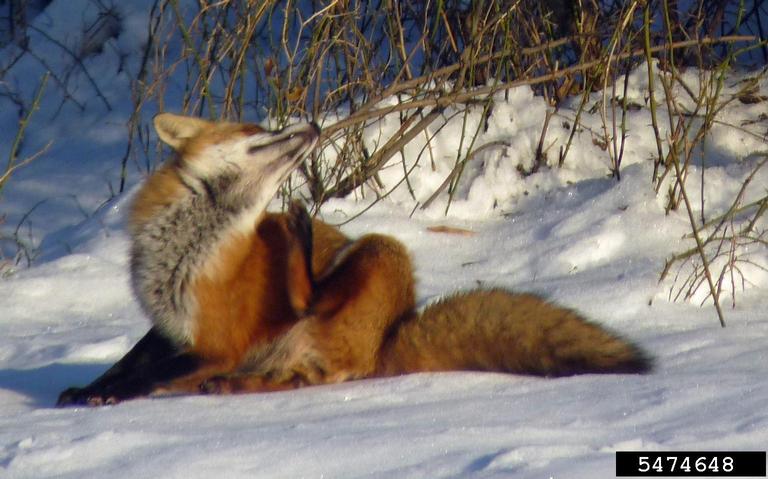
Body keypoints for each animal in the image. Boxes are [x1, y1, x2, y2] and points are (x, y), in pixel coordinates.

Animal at [57, 113, 650, 406]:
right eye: (256, 132)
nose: (314, 125)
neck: (194, 248)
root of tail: (388, 340)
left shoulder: (216, 343)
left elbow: (146, 373)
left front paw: (109, 396)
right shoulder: (169, 326)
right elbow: (127, 363)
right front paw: (90, 388)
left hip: (381, 251)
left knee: (312, 327)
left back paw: (299, 246)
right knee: (297, 379)